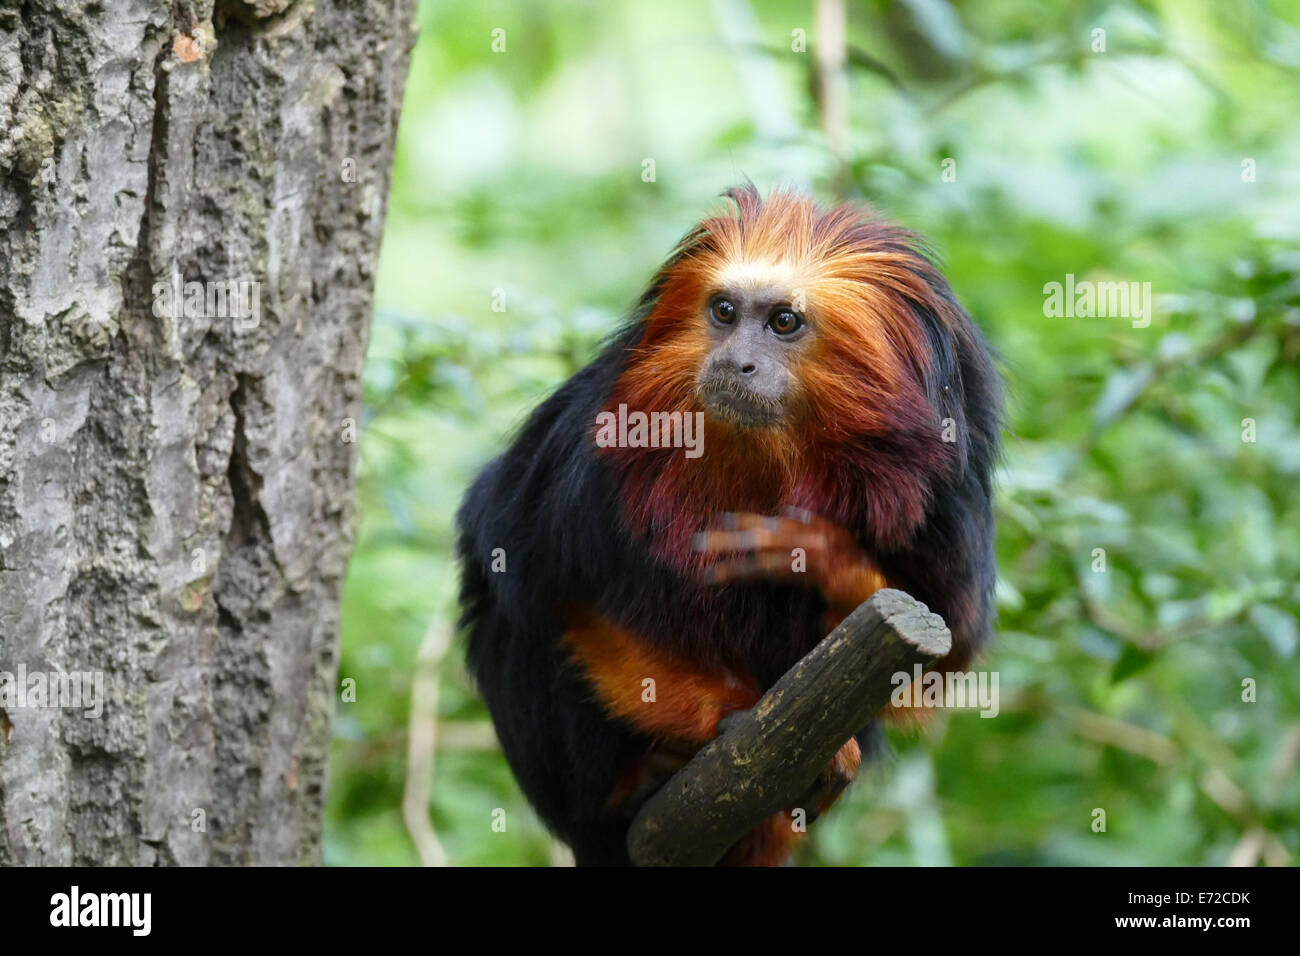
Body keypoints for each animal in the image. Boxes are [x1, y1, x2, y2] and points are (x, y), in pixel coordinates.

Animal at [456, 185, 1002, 866]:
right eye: (724, 311)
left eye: (783, 322)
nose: (735, 361)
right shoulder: (579, 457)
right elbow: (562, 594)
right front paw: (729, 714)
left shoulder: (946, 500)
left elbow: (941, 652)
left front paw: (822, 557)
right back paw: (634, 788)